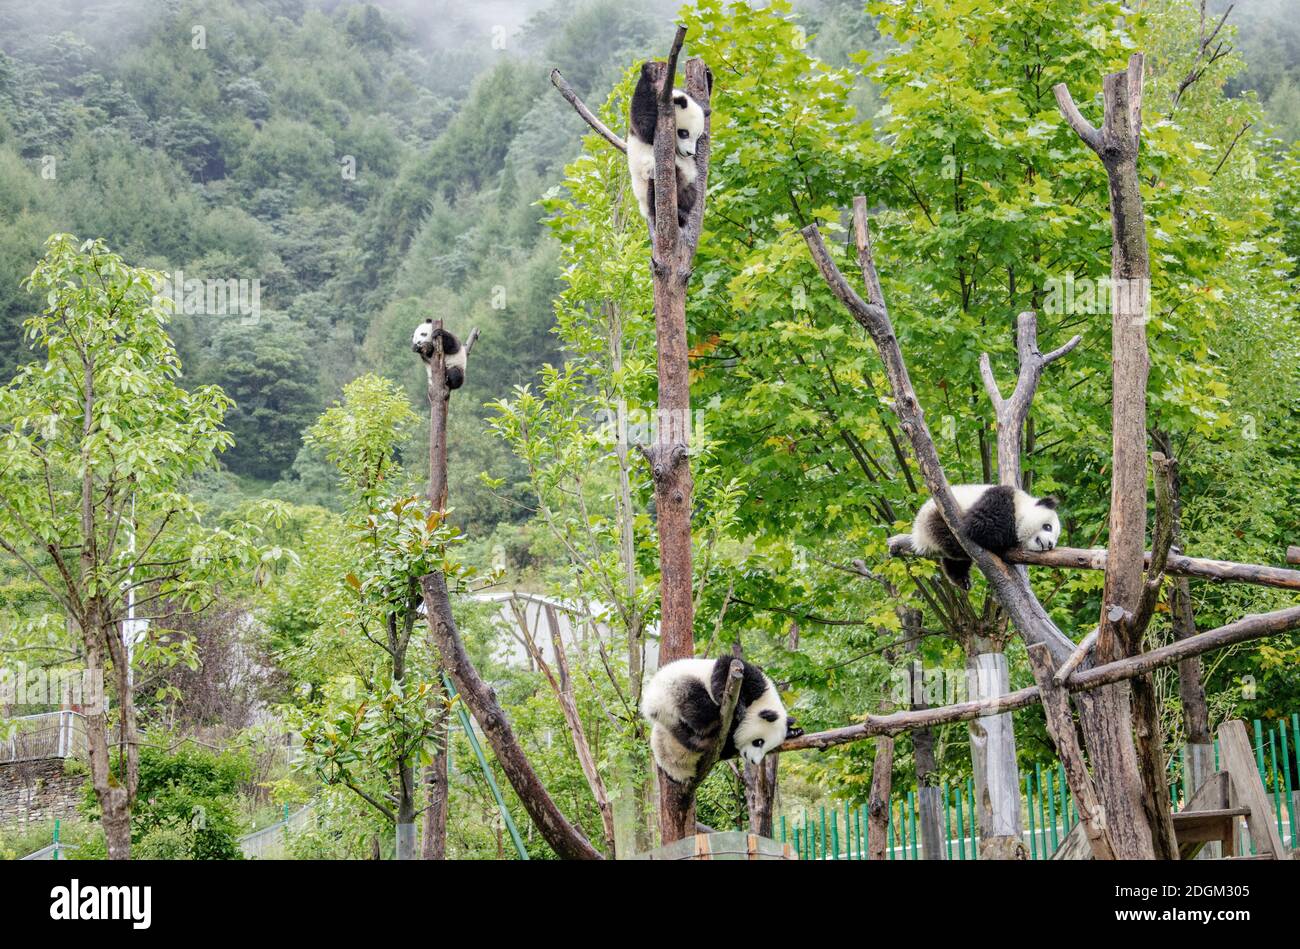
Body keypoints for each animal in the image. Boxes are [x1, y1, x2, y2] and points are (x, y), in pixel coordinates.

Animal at [626, 62, 706, 229]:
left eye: (697, 137)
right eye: (684, 133)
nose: (690, 153)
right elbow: (644, 124)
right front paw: (649, 71)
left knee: (690, 192)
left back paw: (682, 212)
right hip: (647, 181)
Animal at [641, 655, 801, 785]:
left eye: (768, 748)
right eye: (759, 742)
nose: (753, 761)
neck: (759, 703)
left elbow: (727, 749)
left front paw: (795, 732)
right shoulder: (751, 679)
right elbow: (725, 667)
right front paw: (736, 705)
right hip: (671, 690)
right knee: (694, 699)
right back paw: (712, 722)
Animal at [910, 484, 1061, 590]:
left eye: (1055, 540)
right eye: (1048, 527)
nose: (1049, 545)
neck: (1020, 506)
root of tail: (918, 535)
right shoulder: (1000, 498)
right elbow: (981, 526)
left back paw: (962, 580)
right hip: (939, 516)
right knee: (952, 541)